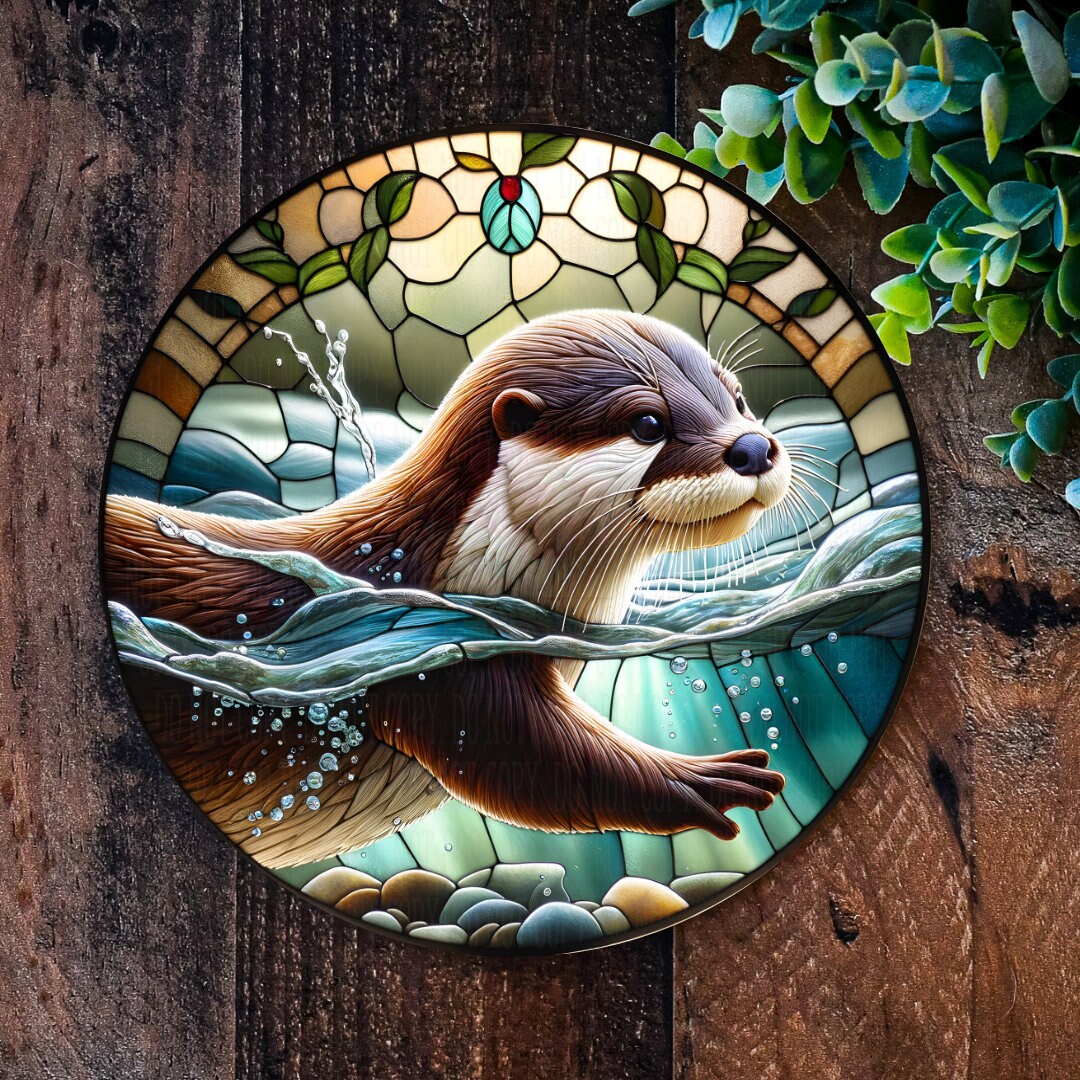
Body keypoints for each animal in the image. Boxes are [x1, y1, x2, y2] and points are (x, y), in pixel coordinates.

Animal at [104, 310, 792, 866]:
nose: (752, 445)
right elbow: (545, 763)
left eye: (737, 399)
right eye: (648, 422)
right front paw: (704, 779)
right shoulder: (441, 663)